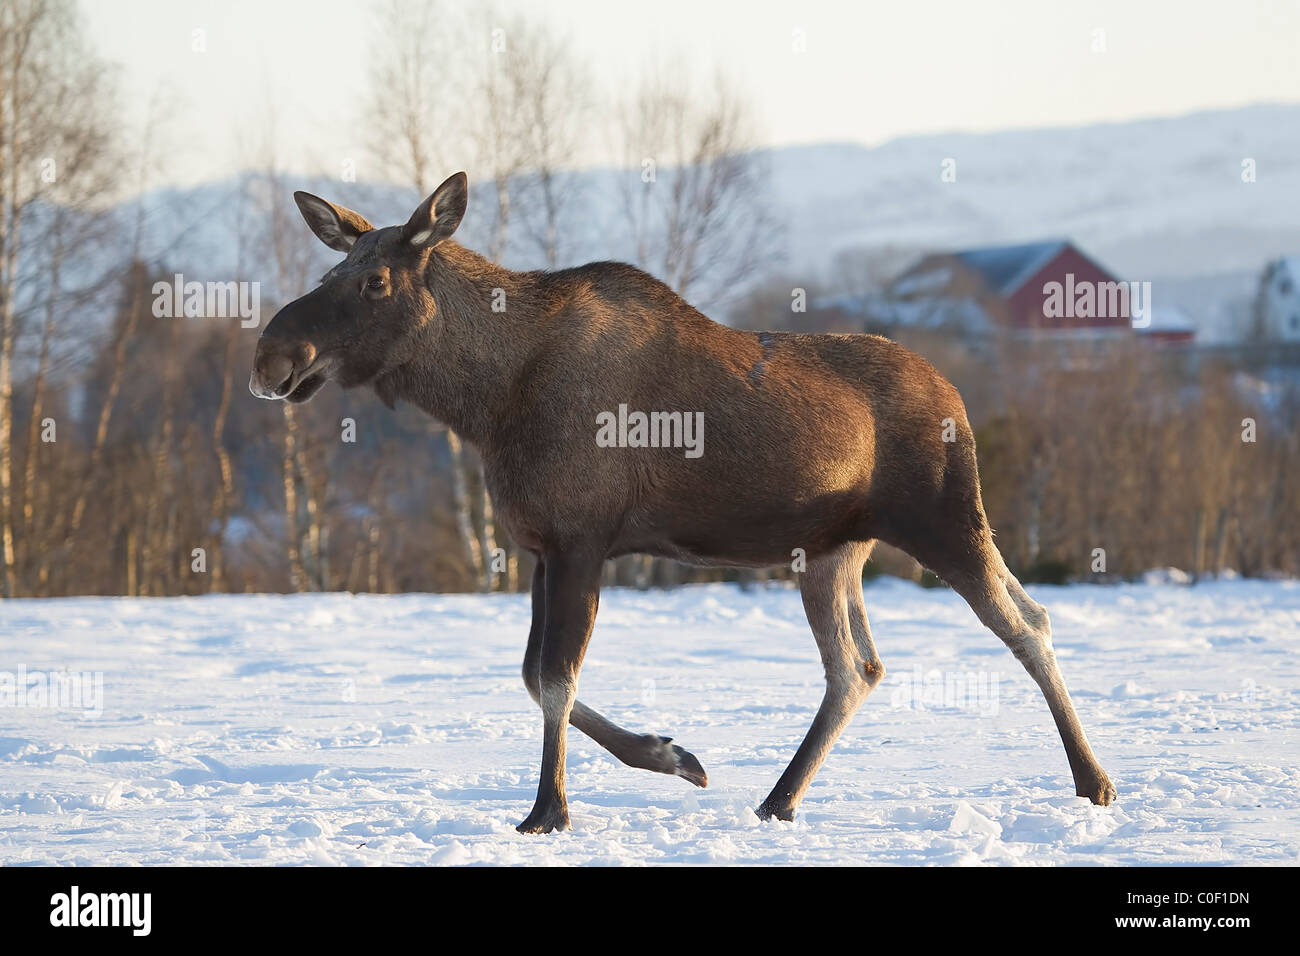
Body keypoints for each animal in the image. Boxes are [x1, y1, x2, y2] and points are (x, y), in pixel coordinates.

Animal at [253, 175, 1118, 832]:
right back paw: (779, 799)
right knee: (857, 667)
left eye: (373, 281)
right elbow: (533, 675)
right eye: (328, 276)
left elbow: (554, 679)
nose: (271, 354)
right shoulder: (541, 545)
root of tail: (957, 396)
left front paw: (548, 812)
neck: (484, 400)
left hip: (946, 519)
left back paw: (1094, 779)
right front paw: (673, 755)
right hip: (833, 550)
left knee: (1025, 621)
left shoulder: (581, 538)